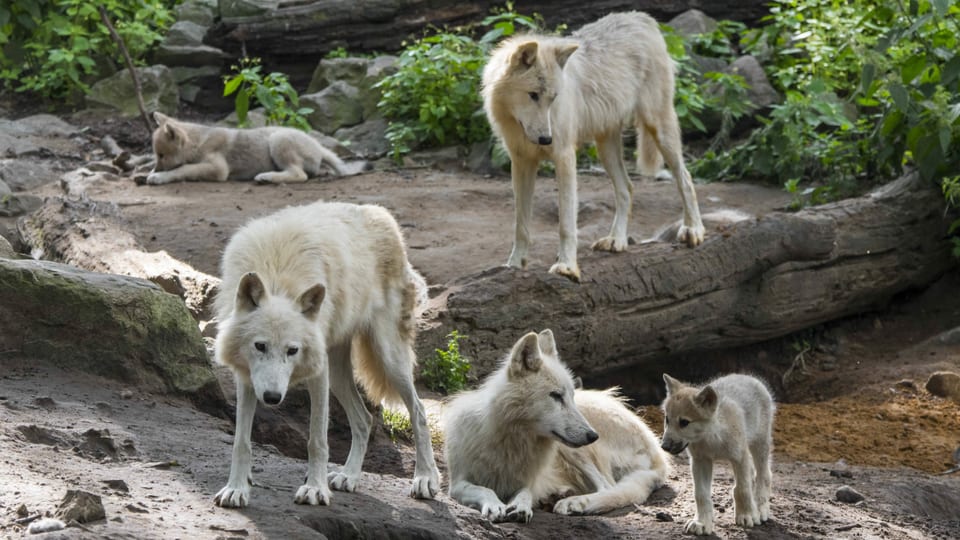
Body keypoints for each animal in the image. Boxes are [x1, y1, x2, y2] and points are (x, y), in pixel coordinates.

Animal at [145, 112, 348, 185]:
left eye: (161, 155)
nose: (156, 169)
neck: (198, 143)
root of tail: (318, 146)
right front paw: (151, 173)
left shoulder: (218, 169)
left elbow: (184, 169)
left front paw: (158, 177)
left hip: (278, 139)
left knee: (299, 175)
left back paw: (266, 177)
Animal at [212, 200, 440, 508]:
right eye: (260, 346)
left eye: (292, 350)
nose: (272, 397)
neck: (277, 277)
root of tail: (382, 214)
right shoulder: (248, 375)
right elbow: (241, 441)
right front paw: (236, 489)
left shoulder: (317, 374)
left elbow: (317, 439)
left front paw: (314, 489)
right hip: (338, 372)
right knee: (364, 419)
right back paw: (349, 476)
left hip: (388, 358)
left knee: (418, 410)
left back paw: (425, 478)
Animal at [443, 329, 669, 523]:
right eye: (556, 396)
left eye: (571, 396)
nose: (593, 436)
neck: (512, 439)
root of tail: (658, 451)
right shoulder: (457, 483)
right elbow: (485, 489)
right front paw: (494, 505)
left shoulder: (530, 481)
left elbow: (525, 493)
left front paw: (521, 507)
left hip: (573, 450)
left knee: (607, 487)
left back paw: (574, 503)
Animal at [482, 11, 706, 282]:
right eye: (533, 95)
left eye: (553, 98)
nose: (546, 140)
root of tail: (642, 18)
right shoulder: (522, 162)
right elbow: (521, 225)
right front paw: (514, 265)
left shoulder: (564, 156)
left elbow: (566, 224)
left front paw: (566, 267)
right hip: (605, 147)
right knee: (627, 188)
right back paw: (617, 240)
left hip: (658, 128)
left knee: (685, 177)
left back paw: (693, 230)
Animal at [660, 373, 775, 535]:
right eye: (667, 419)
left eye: (684, 422)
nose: (664, 446)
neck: (712, 439)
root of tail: (748, 377)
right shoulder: (700, 461)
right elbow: (701, 494)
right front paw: (702, 523)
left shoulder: (739, 457)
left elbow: (742, 489)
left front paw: (746, 515)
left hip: (759, 445)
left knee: (764, 475)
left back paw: (760, 508)